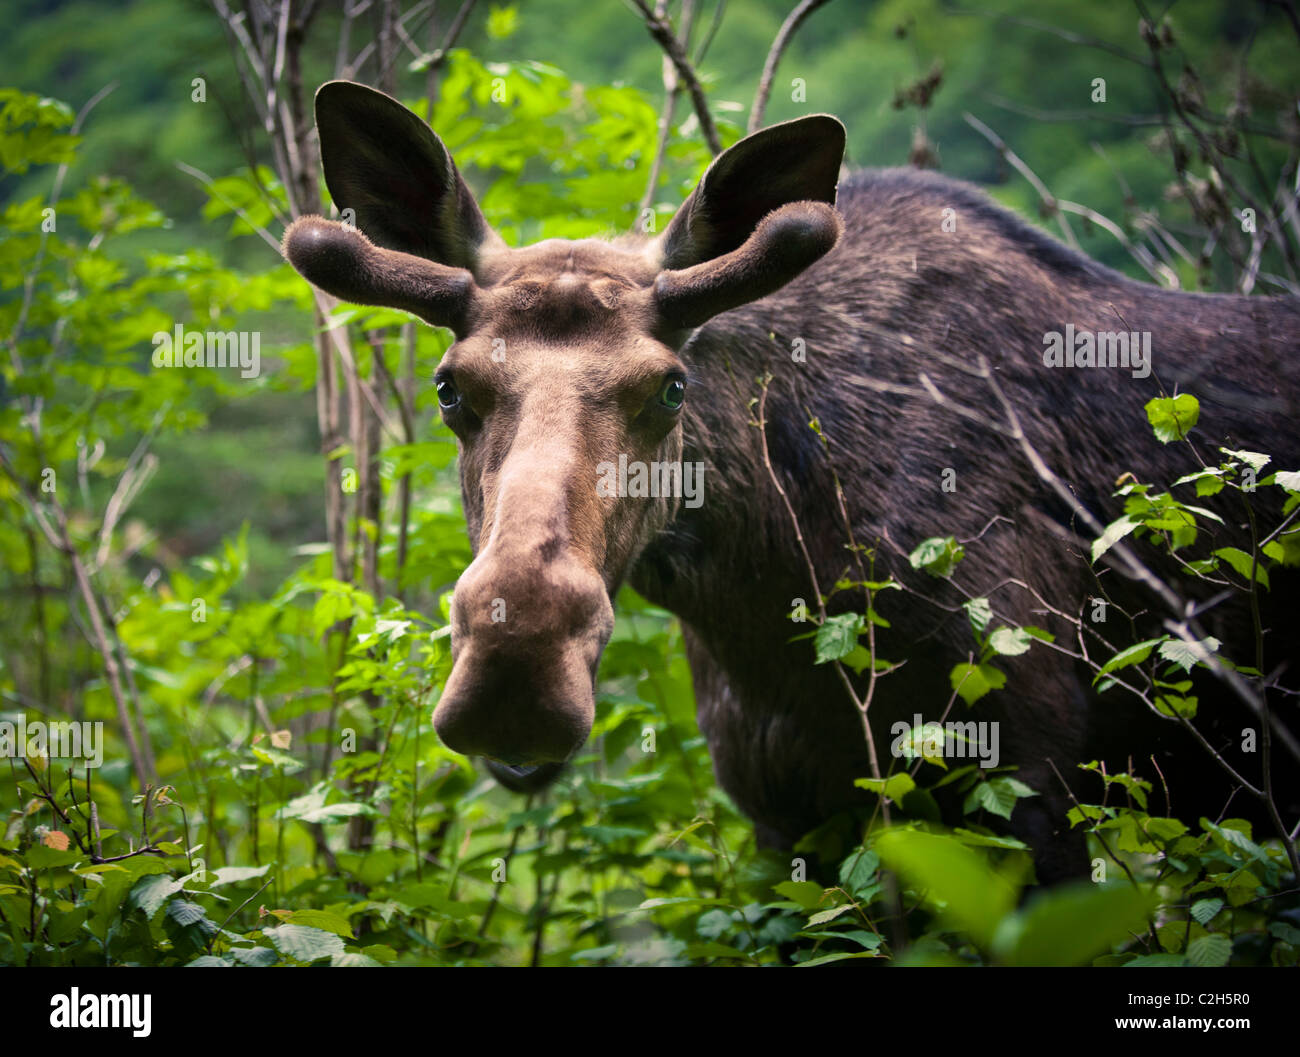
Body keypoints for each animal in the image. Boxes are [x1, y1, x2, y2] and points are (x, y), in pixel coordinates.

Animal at [284, 81, 1300, 882]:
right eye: (450, 387)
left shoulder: (1030, 773)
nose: (518, 658)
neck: (762, 579)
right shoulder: (782, 806)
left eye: (673, 385)